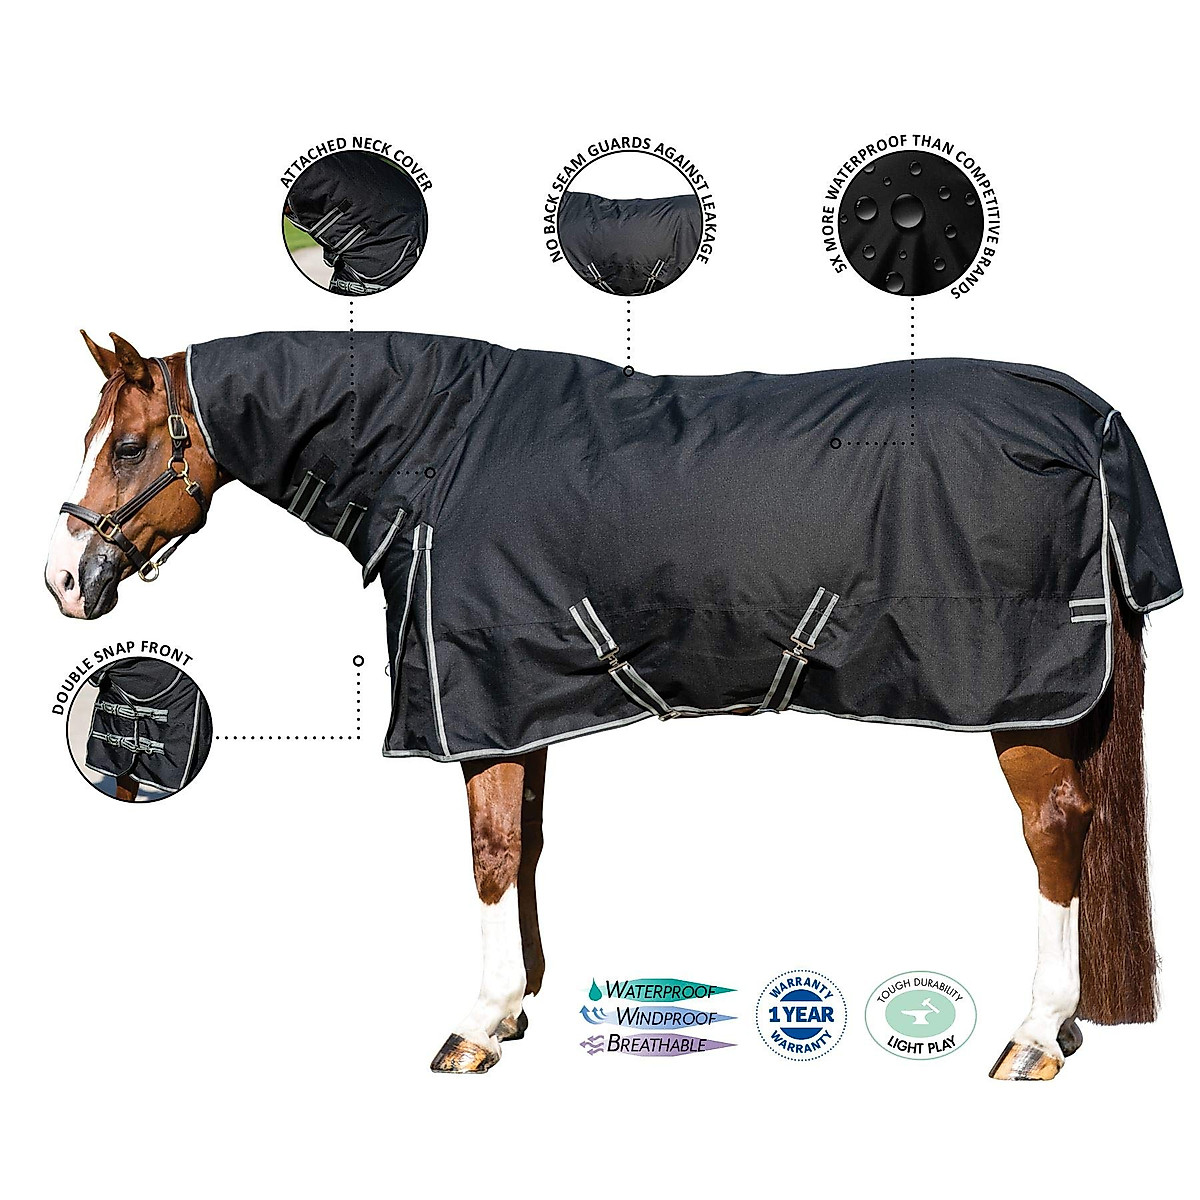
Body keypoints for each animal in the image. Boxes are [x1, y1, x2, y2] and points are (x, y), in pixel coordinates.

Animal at [45, 330, 1181, 1078]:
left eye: (130, 447)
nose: (63, 580)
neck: (439, 449)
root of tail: (1090, 417)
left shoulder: (477, 702)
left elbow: (489, 855)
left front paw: (477, 1023)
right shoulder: (523, 705)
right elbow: (526, 848)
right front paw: (516, 1009)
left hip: (1026, 705)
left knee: (1054, 833)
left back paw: (1034, 1035)